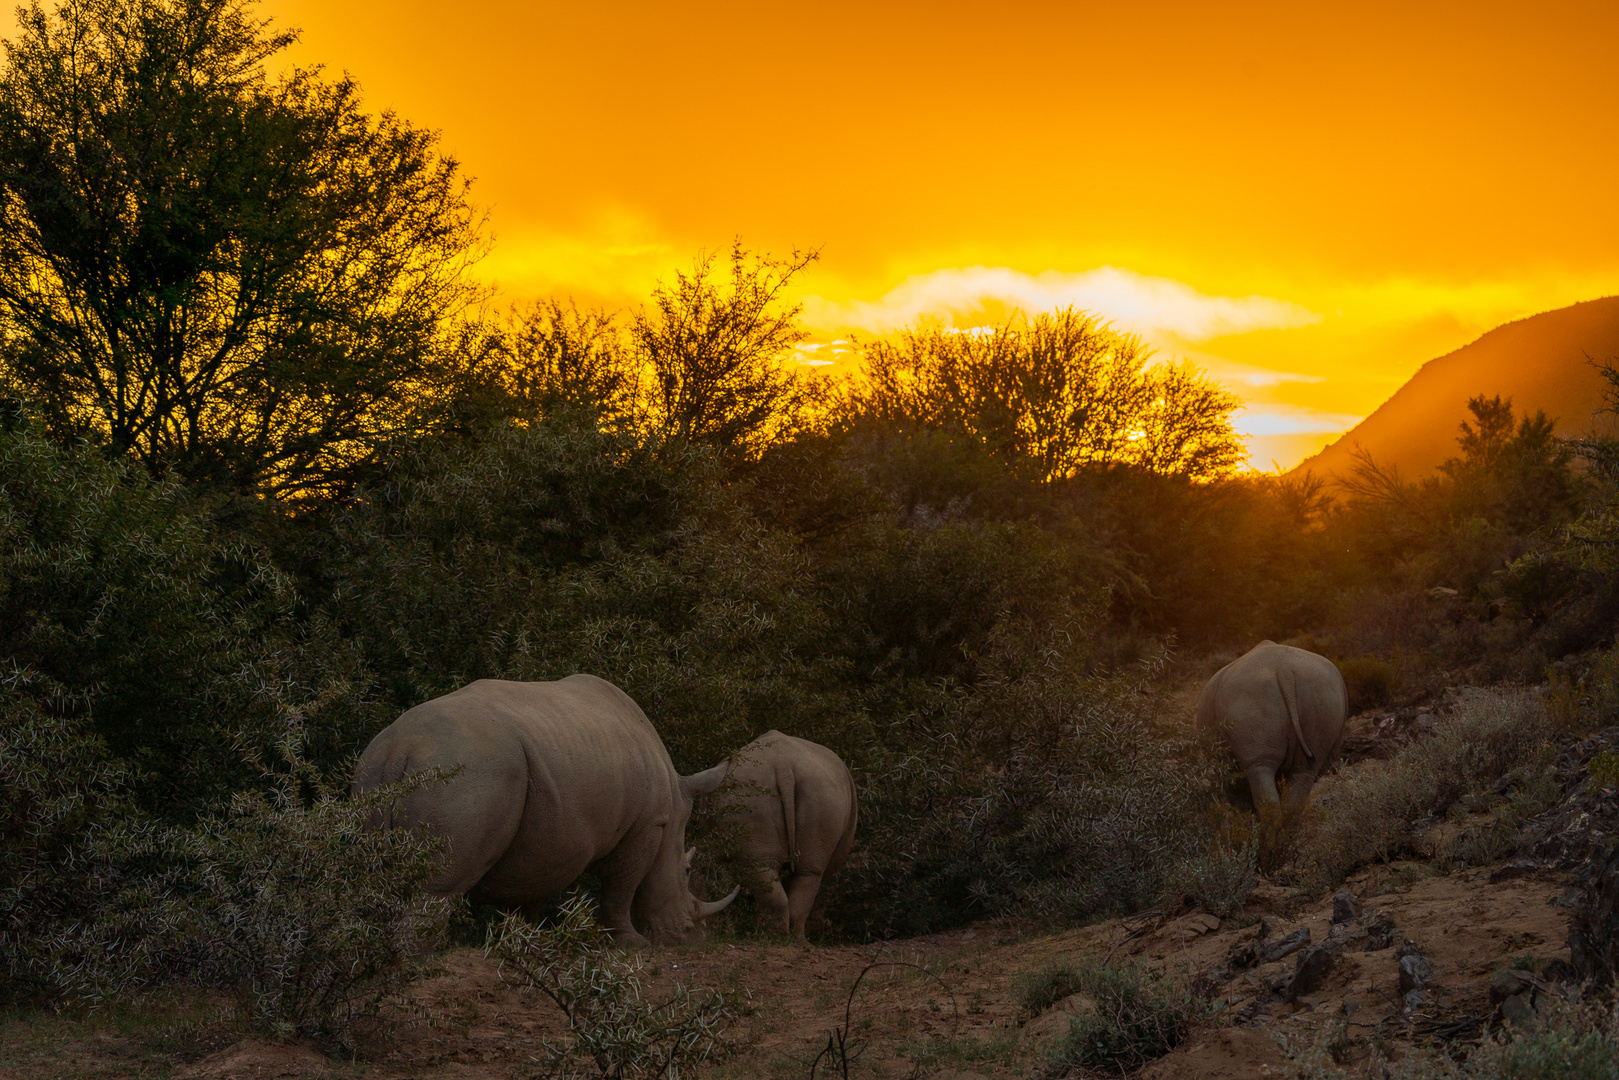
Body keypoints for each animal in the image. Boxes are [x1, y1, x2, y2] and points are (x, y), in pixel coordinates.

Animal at [353, 674, 738, 946]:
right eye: (686, 871)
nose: (686, 936)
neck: (674, 797)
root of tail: (400, 749)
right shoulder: (647, 825)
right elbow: (622, 884)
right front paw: (633, 943)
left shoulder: (544, 835)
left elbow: (527, 887)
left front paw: (528, 942)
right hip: (467, 773)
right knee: (437, 889)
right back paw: (416, 966)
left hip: (372, 773)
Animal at [716, 731, 857, 944]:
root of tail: (783, 765)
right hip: (812, 792)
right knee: (802, 872)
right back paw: (785, 940)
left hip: (766, 791)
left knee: (786, 870)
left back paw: (781, 940)